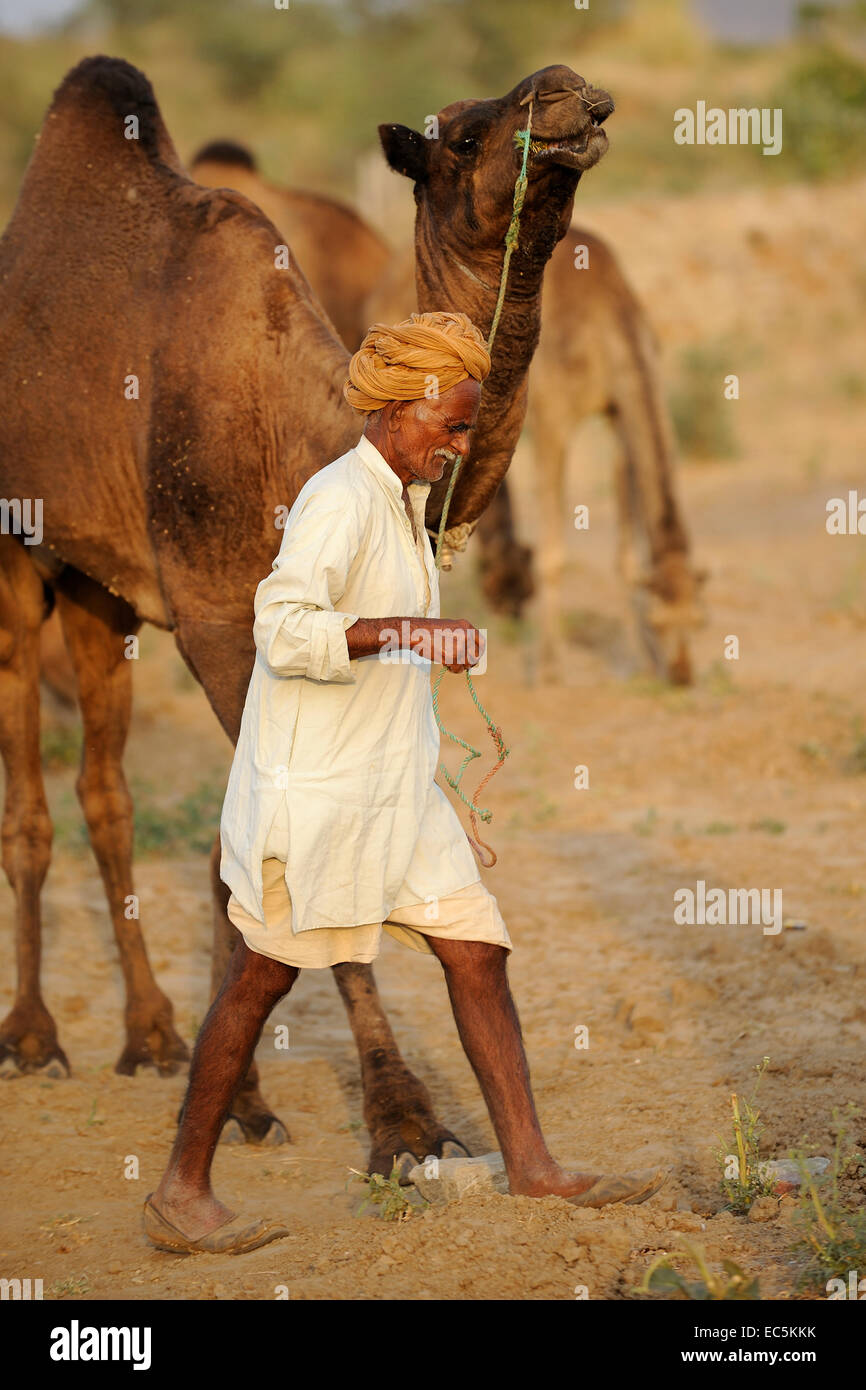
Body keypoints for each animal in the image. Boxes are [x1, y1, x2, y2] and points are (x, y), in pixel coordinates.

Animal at [0, 56, 612, 1174]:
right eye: (460, 136)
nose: (569, 92)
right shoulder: (218, 614)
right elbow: (280, 858)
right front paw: (401, 1119)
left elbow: (230, 858)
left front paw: (240, 1097)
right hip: (20, 553)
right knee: (28, 793)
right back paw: (33, 1039)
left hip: (103, 589)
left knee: (106, 791)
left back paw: (150, 1036)